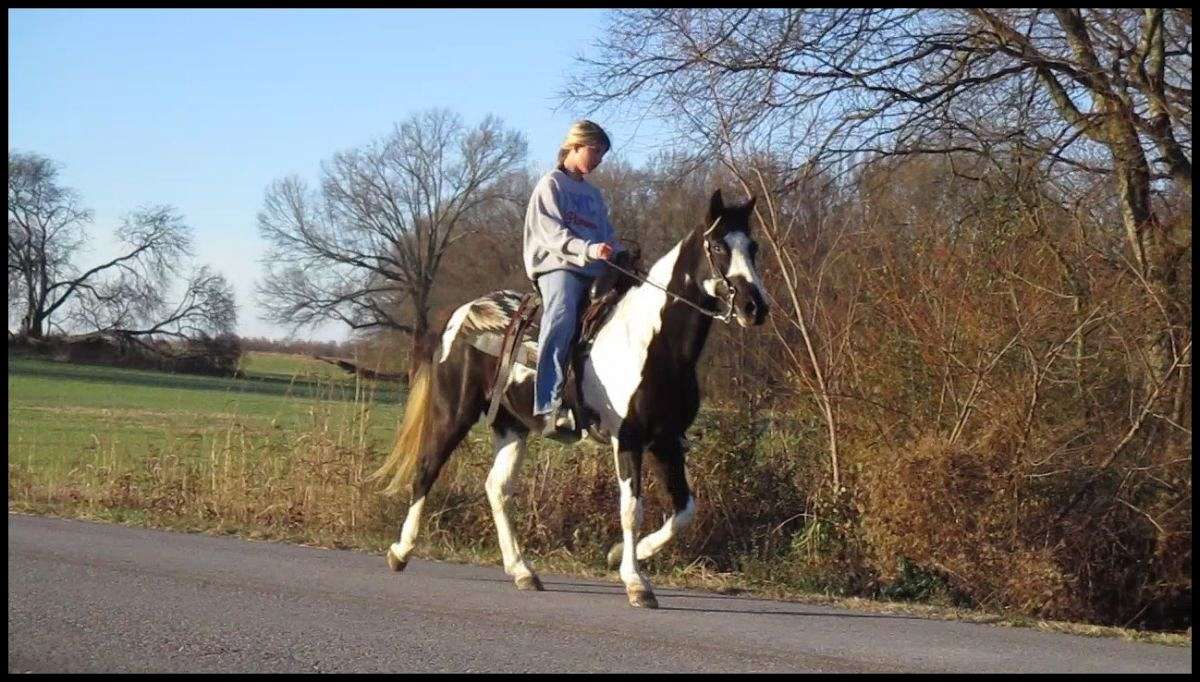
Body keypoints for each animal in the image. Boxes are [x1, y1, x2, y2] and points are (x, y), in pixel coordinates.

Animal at [369, 189, 768, 608]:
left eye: (753, 246)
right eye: (718, 245)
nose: (754, 307)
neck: (652, 343)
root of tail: (462, 315)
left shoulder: (667, 441)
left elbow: (684, 511)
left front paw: (618, 555)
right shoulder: (627, 439)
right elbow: (631, 509)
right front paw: (635, 582)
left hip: (511, 425)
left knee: (497, 488)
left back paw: (522, 571)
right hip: (453, 412)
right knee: (427, 468)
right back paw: (400, 551)